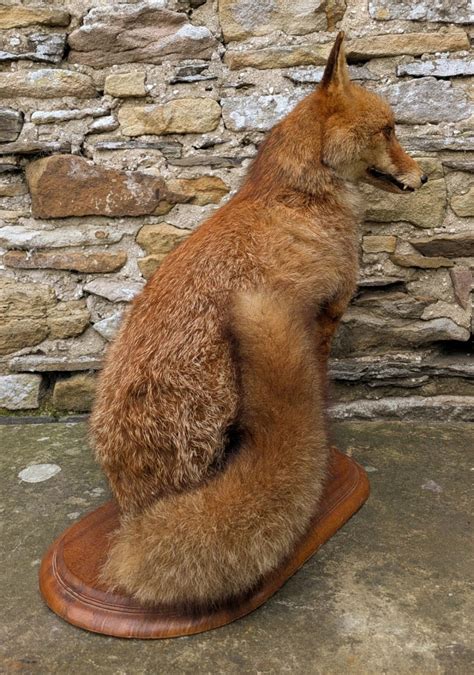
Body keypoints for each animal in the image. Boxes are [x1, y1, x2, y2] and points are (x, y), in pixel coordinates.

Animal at [90, 32, 427, 607]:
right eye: (388, 130)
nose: (423, 176)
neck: (301, 197)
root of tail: (135, 507)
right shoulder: (323, 315)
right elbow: (316, 391)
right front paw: (322, 463)